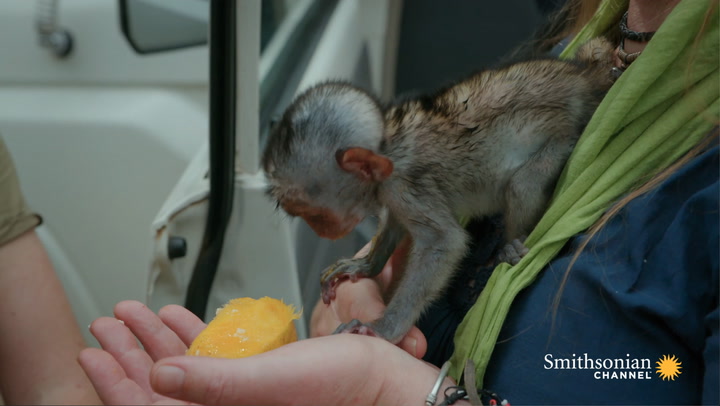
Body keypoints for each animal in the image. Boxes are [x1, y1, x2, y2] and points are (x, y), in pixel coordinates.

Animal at [262, 38, 617, 344]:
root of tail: (582, 79)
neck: (389, 144)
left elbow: (444, 242)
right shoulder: (394, 194)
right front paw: (364, 267)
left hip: (566, 138)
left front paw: (383, 328)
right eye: (305, 215)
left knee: (523, 183)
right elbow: (396, 225)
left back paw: (512, 245)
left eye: (314, 214)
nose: (320, 231)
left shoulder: (404, 186)